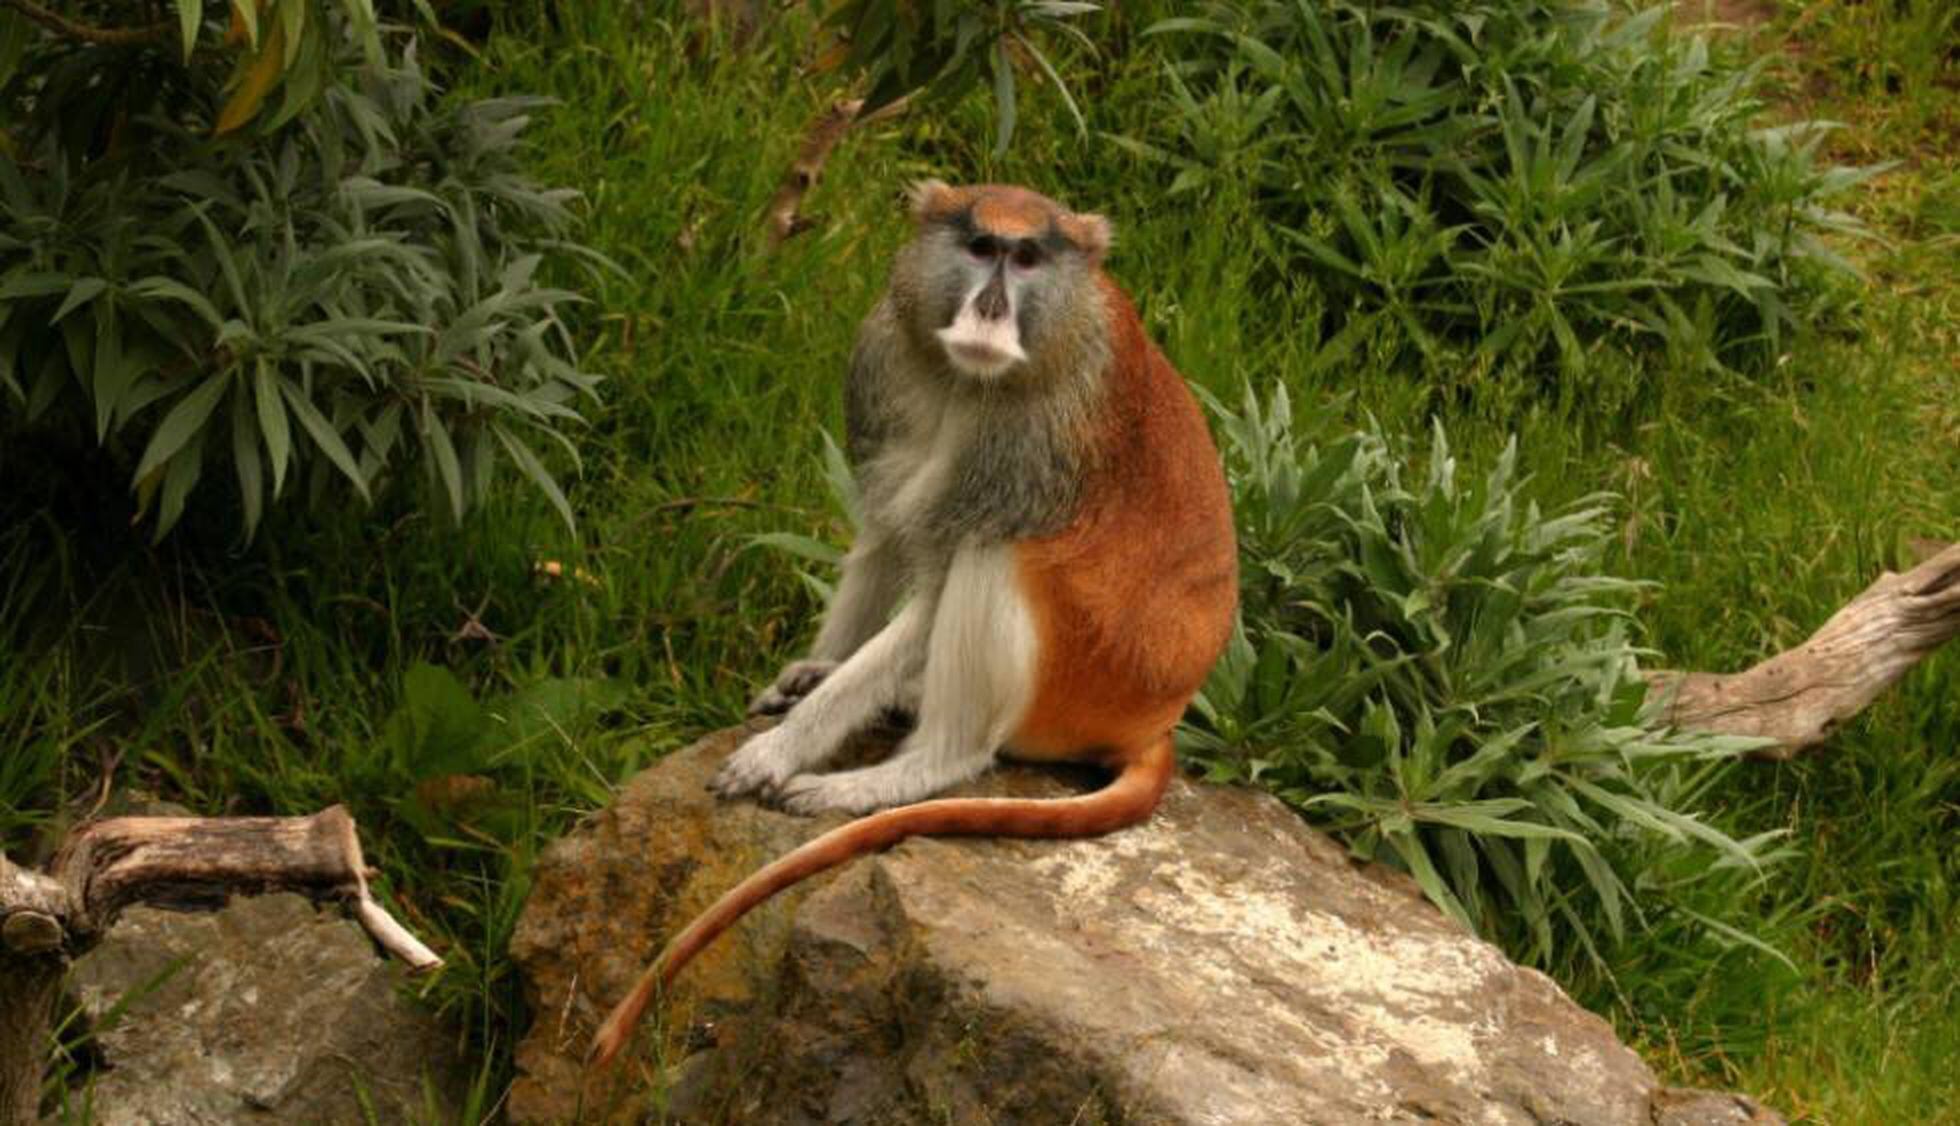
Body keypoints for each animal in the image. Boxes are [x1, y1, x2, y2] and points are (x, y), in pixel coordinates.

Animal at [590, 181, 1238, 1068]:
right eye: (979, 248)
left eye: (1026, 259)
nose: (990, 307)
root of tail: (1156, 718)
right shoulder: (883, 358)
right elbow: (888, 529)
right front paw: (814, 672)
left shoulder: (1028, 448)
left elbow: (937, 589)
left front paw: (782, 748)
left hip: (1087, 676)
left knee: (998, 559)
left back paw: (914, 765)